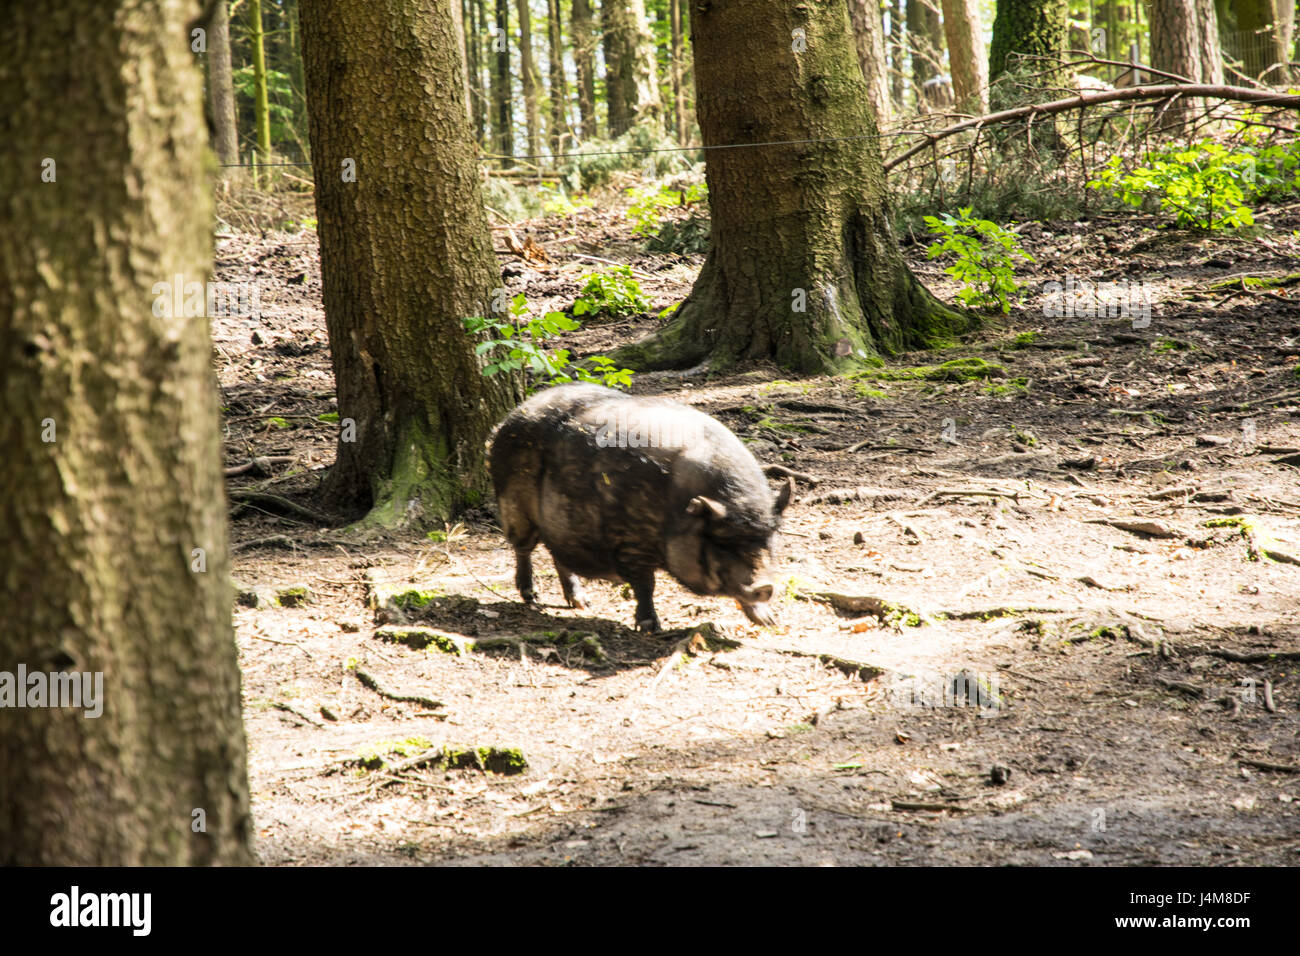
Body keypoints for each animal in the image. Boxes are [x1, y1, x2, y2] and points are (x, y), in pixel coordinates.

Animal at [489, 383, 792, 632]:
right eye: (723, 544)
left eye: (769, 541)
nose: (765, 586)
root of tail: (510, 417)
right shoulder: (632, 541)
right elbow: (645, 585)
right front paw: (650, 627)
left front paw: (769, 622)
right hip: (514, 504)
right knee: (523, 549)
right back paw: (530, 596)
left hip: (559, 525)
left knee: (559, 557)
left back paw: (582, 604)